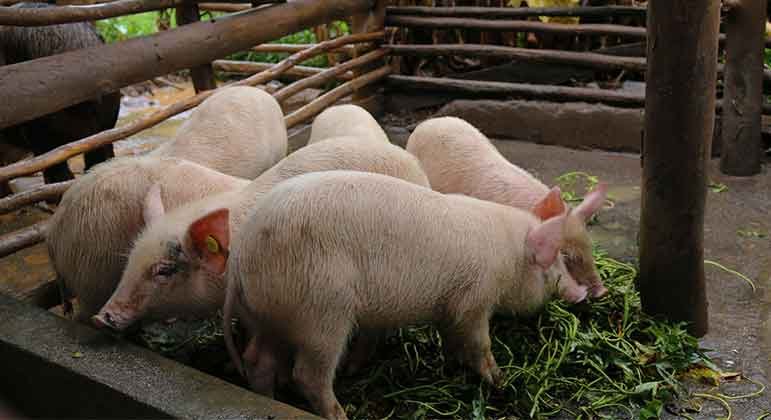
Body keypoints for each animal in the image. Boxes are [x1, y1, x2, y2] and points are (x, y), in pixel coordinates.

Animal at [221, 170, 588, 420]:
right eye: (552, 264)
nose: (580, 293)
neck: (508, 256)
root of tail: (239, 256)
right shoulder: (473, 298)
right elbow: (478, 341)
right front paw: (500, 381)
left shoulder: (448, 306)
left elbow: (451, 337)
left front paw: (454, 364)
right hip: (323, 310)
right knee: (308, 374)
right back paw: (340, 414)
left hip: (271, 315)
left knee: (258, 360)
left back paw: (269, 399)